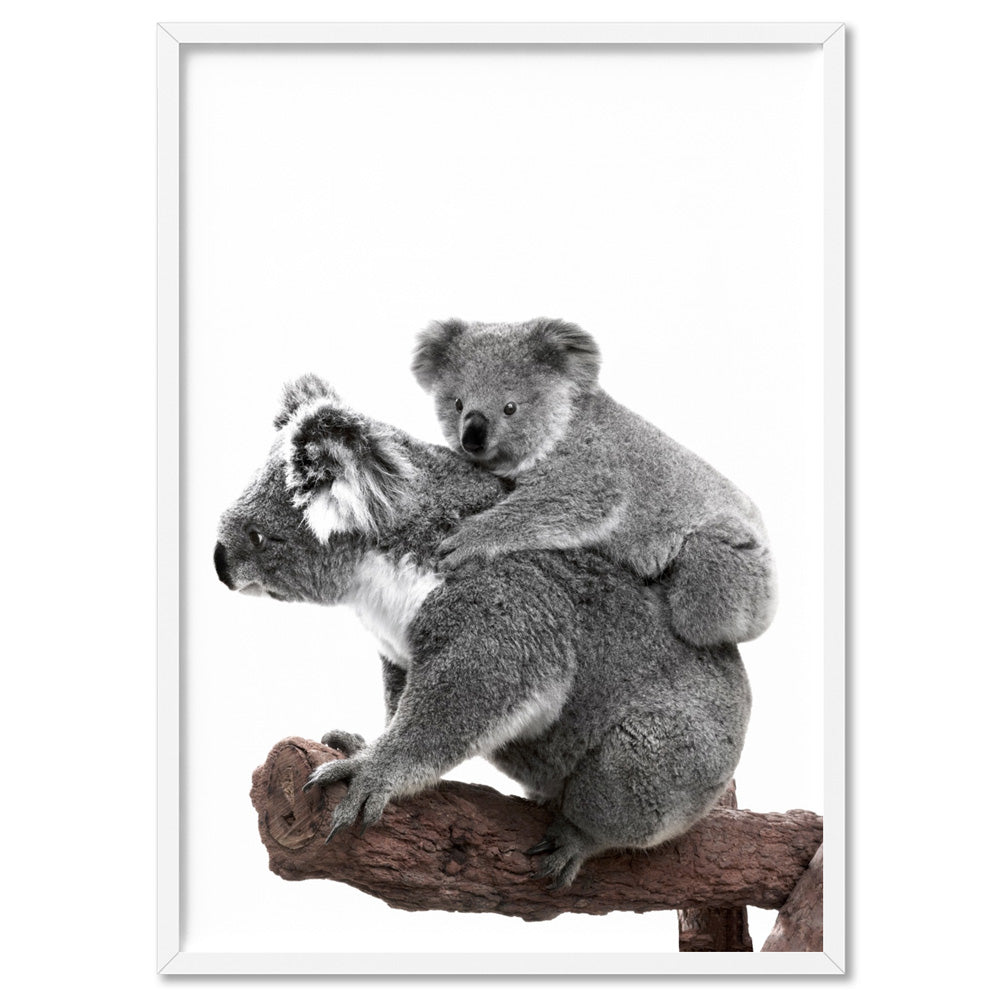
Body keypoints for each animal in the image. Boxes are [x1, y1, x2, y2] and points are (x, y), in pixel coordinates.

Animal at [214, 374, 751, 887]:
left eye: (260, 536)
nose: (220, 567)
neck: (382, 561)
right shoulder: (399, 646)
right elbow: (400, 700)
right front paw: (360, 744)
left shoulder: (500, 606)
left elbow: (466, 692)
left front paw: (368, 773)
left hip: (660, 757)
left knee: (623, 802)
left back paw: (573, 841)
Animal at [411, 317, 778, 647]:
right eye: (457, 404)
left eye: (510, 407)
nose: (471, 439)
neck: (563, 426)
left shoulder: (592, 469)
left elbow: (563, 504)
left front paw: (469, 539)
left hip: (728, 561)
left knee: (705, 605)